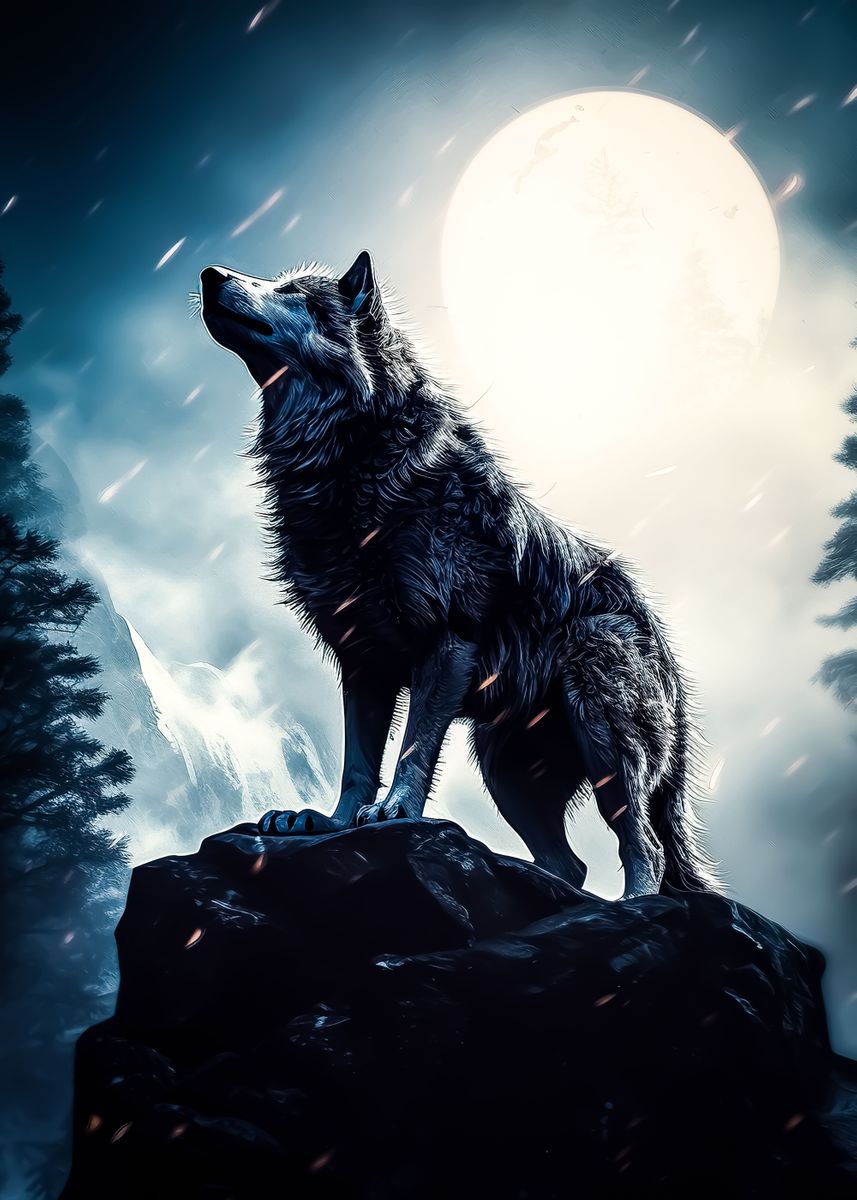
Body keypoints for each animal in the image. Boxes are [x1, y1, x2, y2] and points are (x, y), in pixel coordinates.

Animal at [199, 251, 715, 897]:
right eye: (277, 282)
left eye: (292, 292)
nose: (209, 275)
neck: (350, 458)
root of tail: (667, 651)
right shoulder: (362, 664)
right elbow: (357, 763)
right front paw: (331, 823)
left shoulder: (446, 642)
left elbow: (412, 748)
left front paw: (393, 813)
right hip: (508, 776)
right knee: (571, 866)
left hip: (602, 738)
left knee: (644, 844)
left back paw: (633, 907)